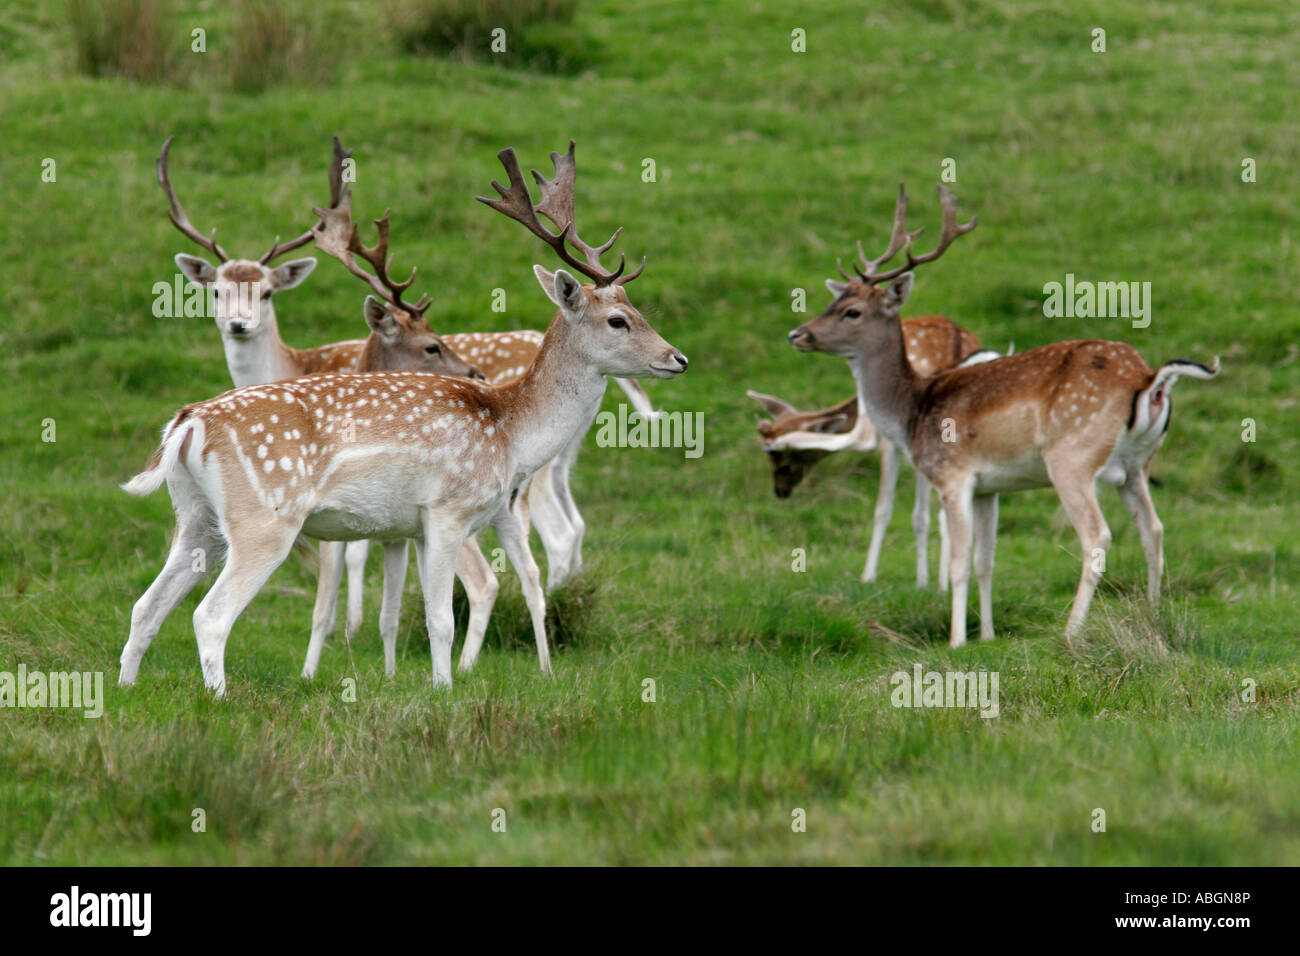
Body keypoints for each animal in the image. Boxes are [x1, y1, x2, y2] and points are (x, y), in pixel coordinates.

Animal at [119, 139, 687, 696]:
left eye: (639, 311)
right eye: (618, 320)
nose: (678, 358)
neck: (510, 431)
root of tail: (188, 424)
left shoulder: (408, 527)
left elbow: (407, 611)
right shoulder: (446, 511)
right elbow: (441, 617)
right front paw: (444, 691)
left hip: (196, 519)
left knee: (145, 607)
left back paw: (126, 689)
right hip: (264, 518)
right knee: (210, 615)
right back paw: (219, 697)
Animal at [750, 315, 996, 590]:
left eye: (780, 459)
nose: (780, 491)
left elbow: (887, 508)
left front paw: (871, 577)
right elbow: (927, 514)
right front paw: (932, 584)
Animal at [788, 183, 1219, 647]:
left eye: (851, 311)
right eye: (835, 298)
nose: (797, 334)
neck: (912, 411)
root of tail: (1149, 378)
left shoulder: (953, 475)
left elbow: (959, 562)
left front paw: (957, 640)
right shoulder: (989, 488)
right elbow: (986, 562)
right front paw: (988, 636)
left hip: (1072, 457)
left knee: (1097, 535)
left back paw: (1071, 631)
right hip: (1136, 466)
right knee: (1153, 530)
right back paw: (1154, 617)